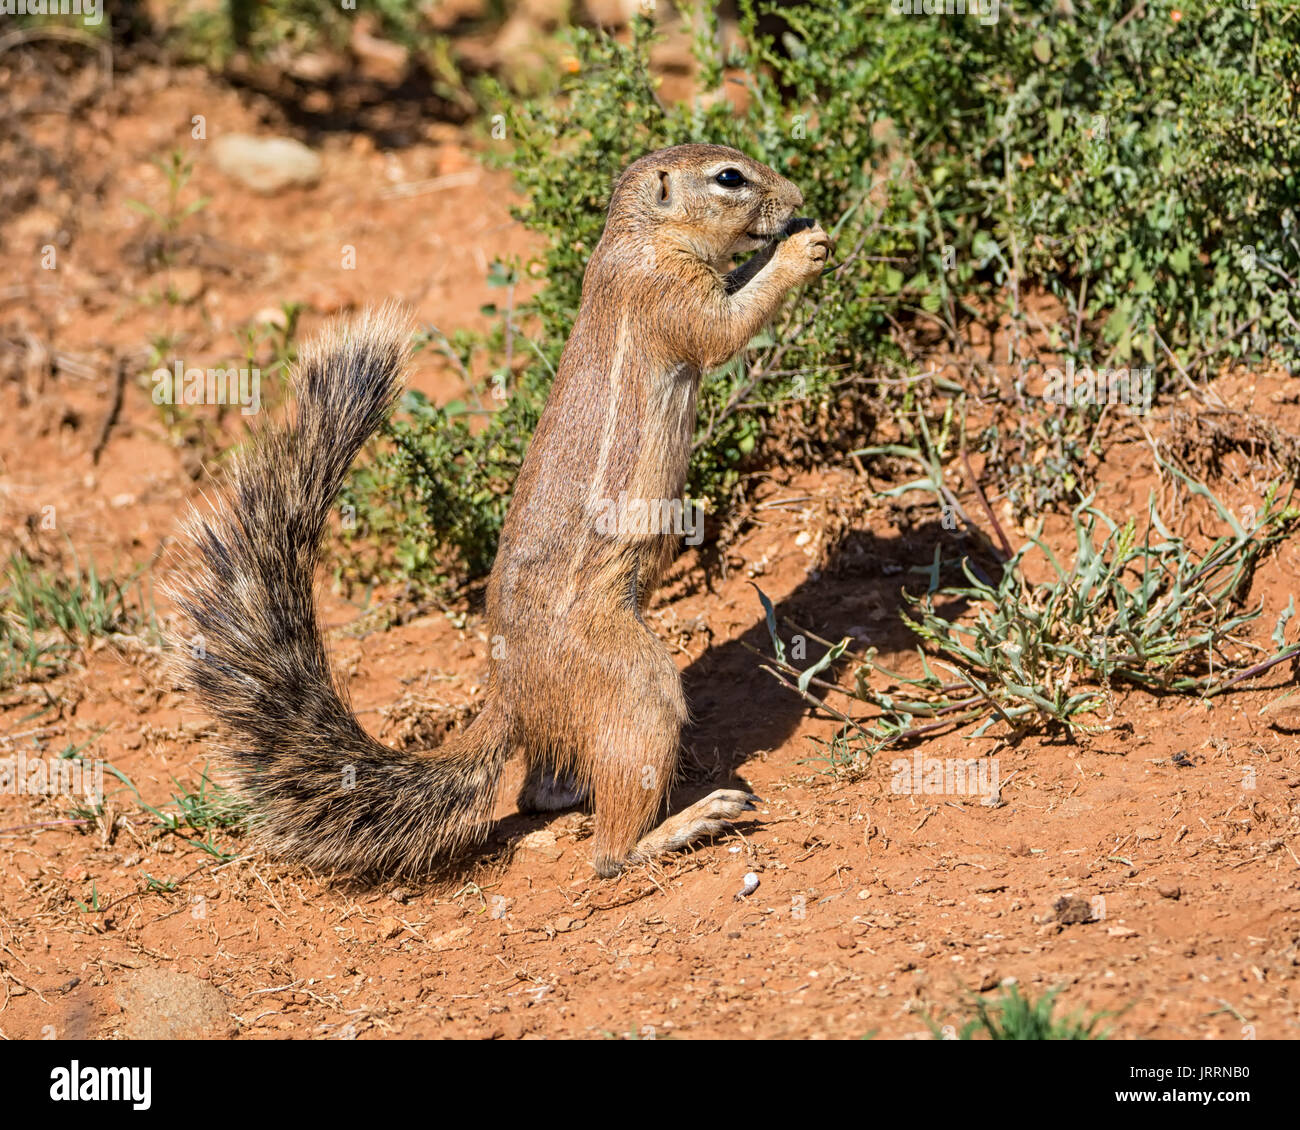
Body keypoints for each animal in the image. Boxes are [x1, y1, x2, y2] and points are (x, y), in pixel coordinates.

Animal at [168, 144, 829, 879]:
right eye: (728, 178)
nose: (798, 196)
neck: (638, 240)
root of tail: (510, 689)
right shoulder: (668, 295)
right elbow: (725, 328)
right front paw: (802, 249)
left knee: (541, 792)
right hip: (638, 682)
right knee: (608, 849)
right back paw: (685, 823)